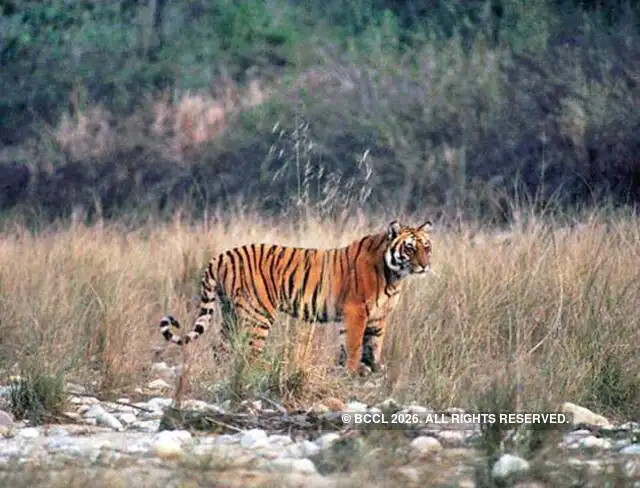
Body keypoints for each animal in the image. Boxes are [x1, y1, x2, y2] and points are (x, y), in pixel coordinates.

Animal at [159, 220, 433, 374]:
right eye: (410, 248)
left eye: (426, 246)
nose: (425, 266)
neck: (394, 276)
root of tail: (221, 256)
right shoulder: (356, 311)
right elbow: (354, 345)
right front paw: (354, 372)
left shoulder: (377, 318)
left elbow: (372, 345)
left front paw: (372, 370)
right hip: (257, 315)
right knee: (249, 352)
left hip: (231, 314)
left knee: (222, 349)